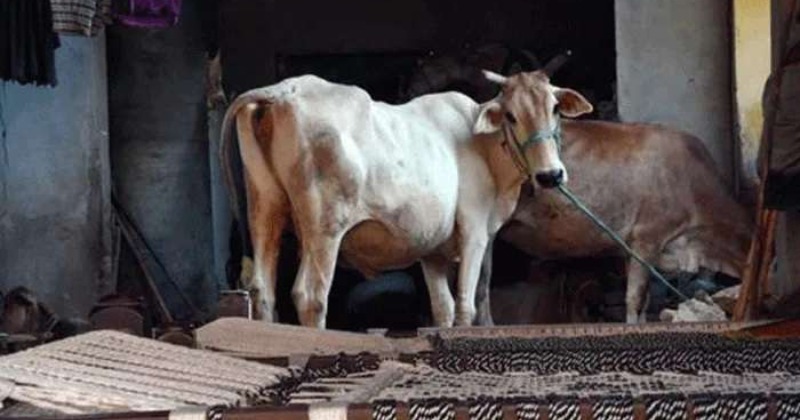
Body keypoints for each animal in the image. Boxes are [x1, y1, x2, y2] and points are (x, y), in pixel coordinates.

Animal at [220, 62, 593, 329]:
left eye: (555, 109)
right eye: (512, 116)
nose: (550, 175)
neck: (483, 146)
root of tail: (285, 89)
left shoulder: (432, 250)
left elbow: (443, 309)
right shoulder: (474, 232)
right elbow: (465, 306)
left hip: (265, 210)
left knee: (263, 292)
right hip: (325, 227)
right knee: (311, 295)